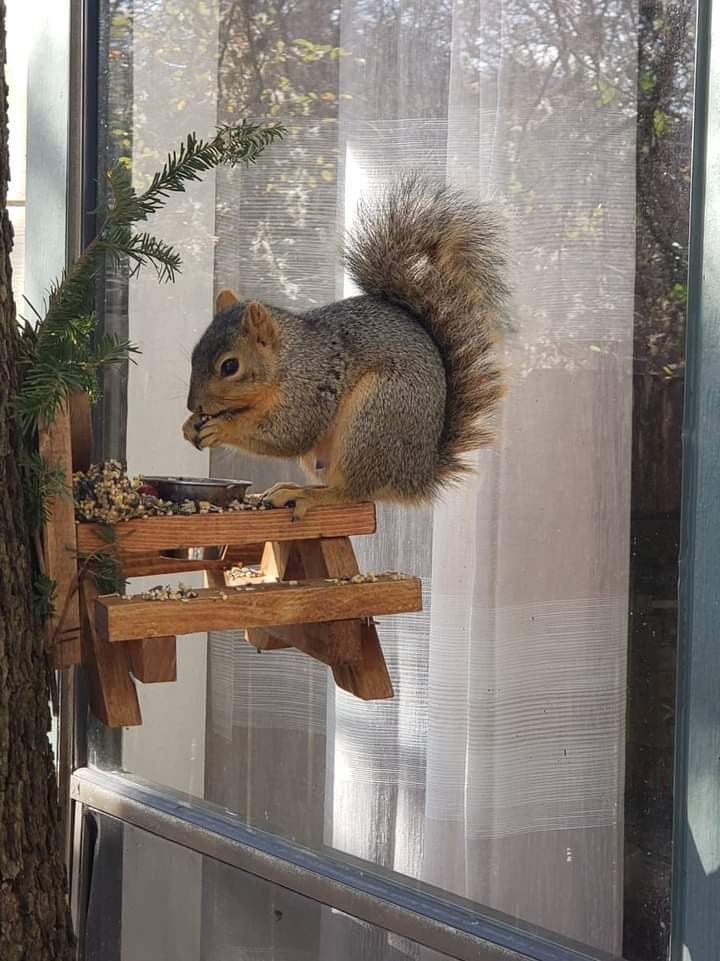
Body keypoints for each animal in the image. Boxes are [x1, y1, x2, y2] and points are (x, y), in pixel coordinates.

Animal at [183, 174, 509, 518]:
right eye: (193, 354)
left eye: (230, 366)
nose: (194, 406)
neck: (289, 359)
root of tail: (416, 476)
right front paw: (190, 426)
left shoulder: (311, 388)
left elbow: (290, 433)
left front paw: (221, 429)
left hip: (375, 416)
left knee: (352, 492)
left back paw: (307, 495)